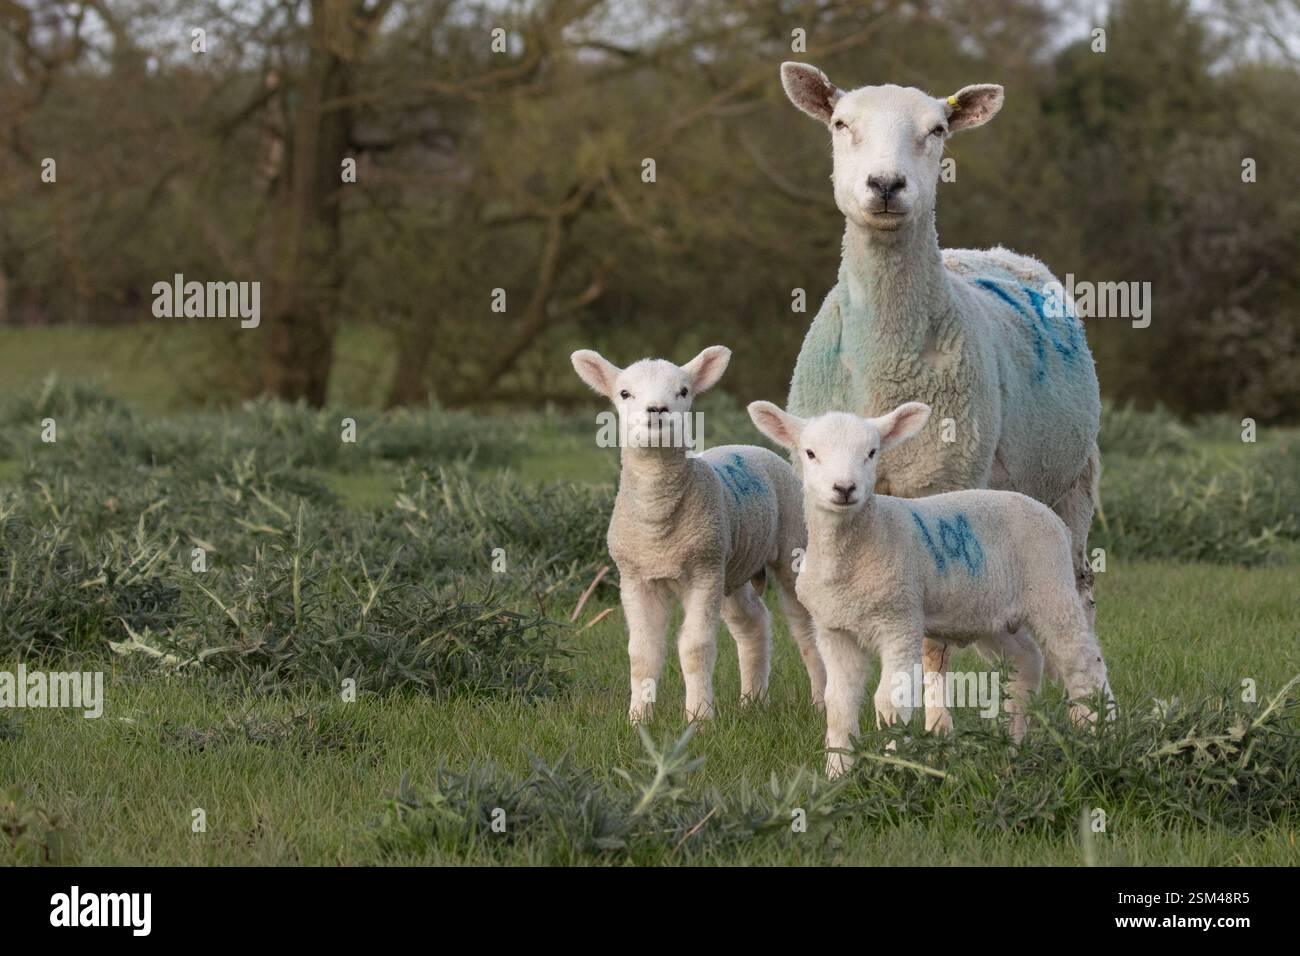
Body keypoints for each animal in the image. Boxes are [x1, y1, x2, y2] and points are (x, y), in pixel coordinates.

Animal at [570, 346, 827, 721]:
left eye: (683, 391)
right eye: (624, 393)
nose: (657, 410)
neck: (659, 526)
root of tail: (752, 447)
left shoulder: (702, 572)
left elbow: (695, 648)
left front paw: (699, 717)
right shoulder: (635, 577)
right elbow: (642, 652)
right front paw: (638, 719)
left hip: (789, 548)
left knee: (806, 630)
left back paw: (821, 701)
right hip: (731, 566)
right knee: (753, 622)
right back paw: (753, 700)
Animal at [748, 399, 1114, 777]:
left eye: (871, 452)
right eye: (810, 453)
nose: (845, 488)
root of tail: (1049, 515)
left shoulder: (900, 620)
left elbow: (889, 700)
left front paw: (894, 767)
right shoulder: (835, 630)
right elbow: (839, 703)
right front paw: (838, 772)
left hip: (1050, 587)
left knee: (1085, 666)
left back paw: (1099, 740)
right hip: (990, 614)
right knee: (1026, 660)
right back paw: (1015, 750)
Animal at [779, 62, 1103, 735]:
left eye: (937, 131)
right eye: (840, 123)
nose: (885, 184)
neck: (884, 363)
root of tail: (1000, 252)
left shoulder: (941, 483)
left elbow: (928, 640)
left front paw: (932, 730)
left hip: (1071, 484)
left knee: (1080, 594)